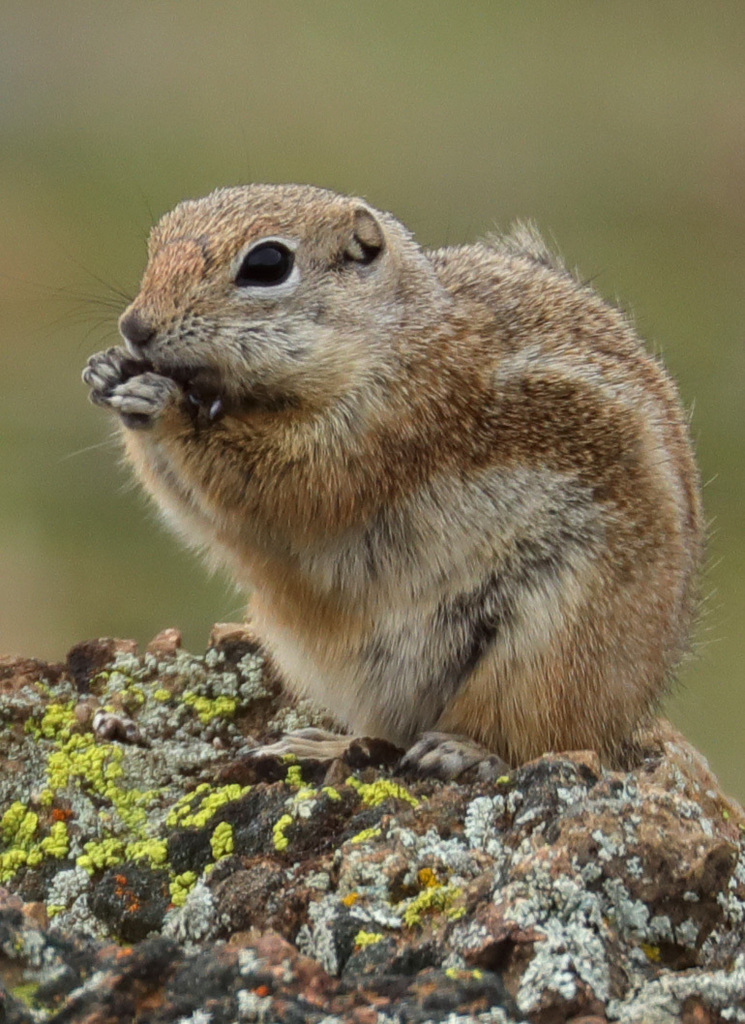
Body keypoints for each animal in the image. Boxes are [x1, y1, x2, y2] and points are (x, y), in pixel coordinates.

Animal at [82, 184, 704, 777]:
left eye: (266, 263)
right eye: (158, 239)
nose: (134, 326)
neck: (390, 336)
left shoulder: (383, 427)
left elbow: (282, 485)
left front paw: (162, 405)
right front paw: (106, 371)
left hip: (550, 651)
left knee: (533, 736)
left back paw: (461, 750)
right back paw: (320, 746)